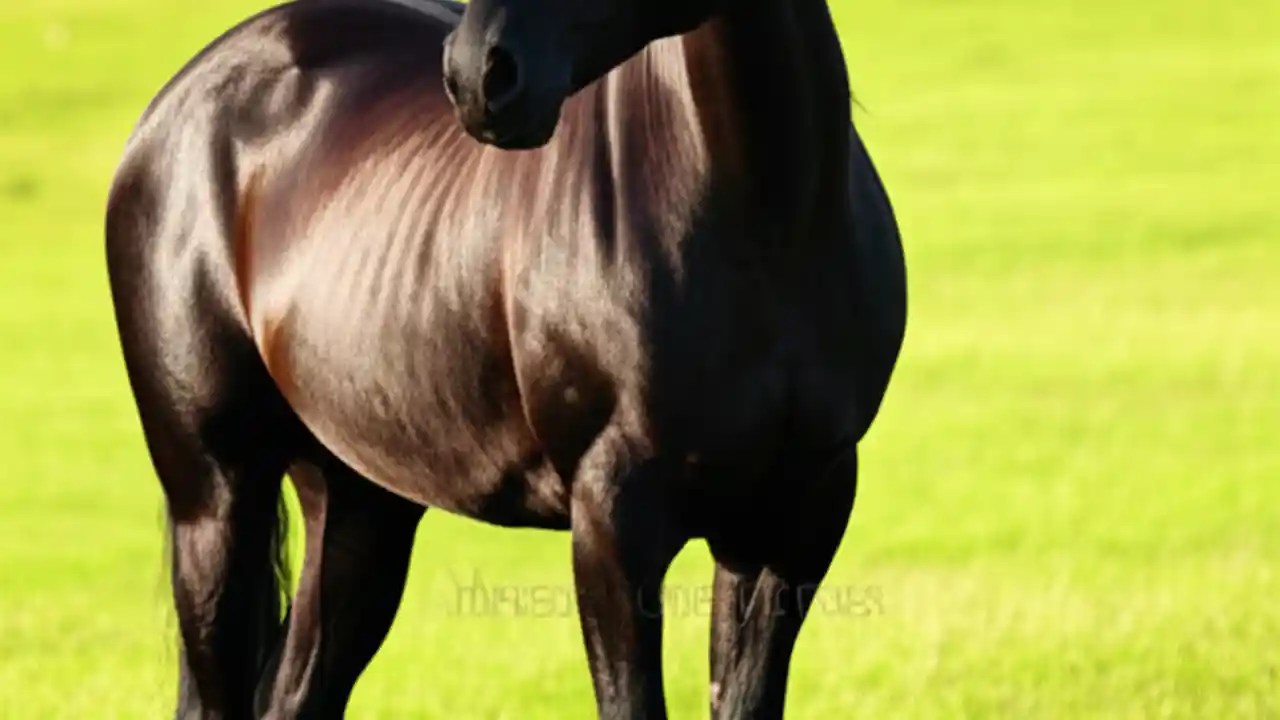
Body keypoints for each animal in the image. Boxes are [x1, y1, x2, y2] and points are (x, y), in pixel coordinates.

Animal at [105, 0, 906, 716]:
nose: (479, 75)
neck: (765, 227)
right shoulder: (613, 522)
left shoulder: (794, 518)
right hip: (215, 502)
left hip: (357, 500)